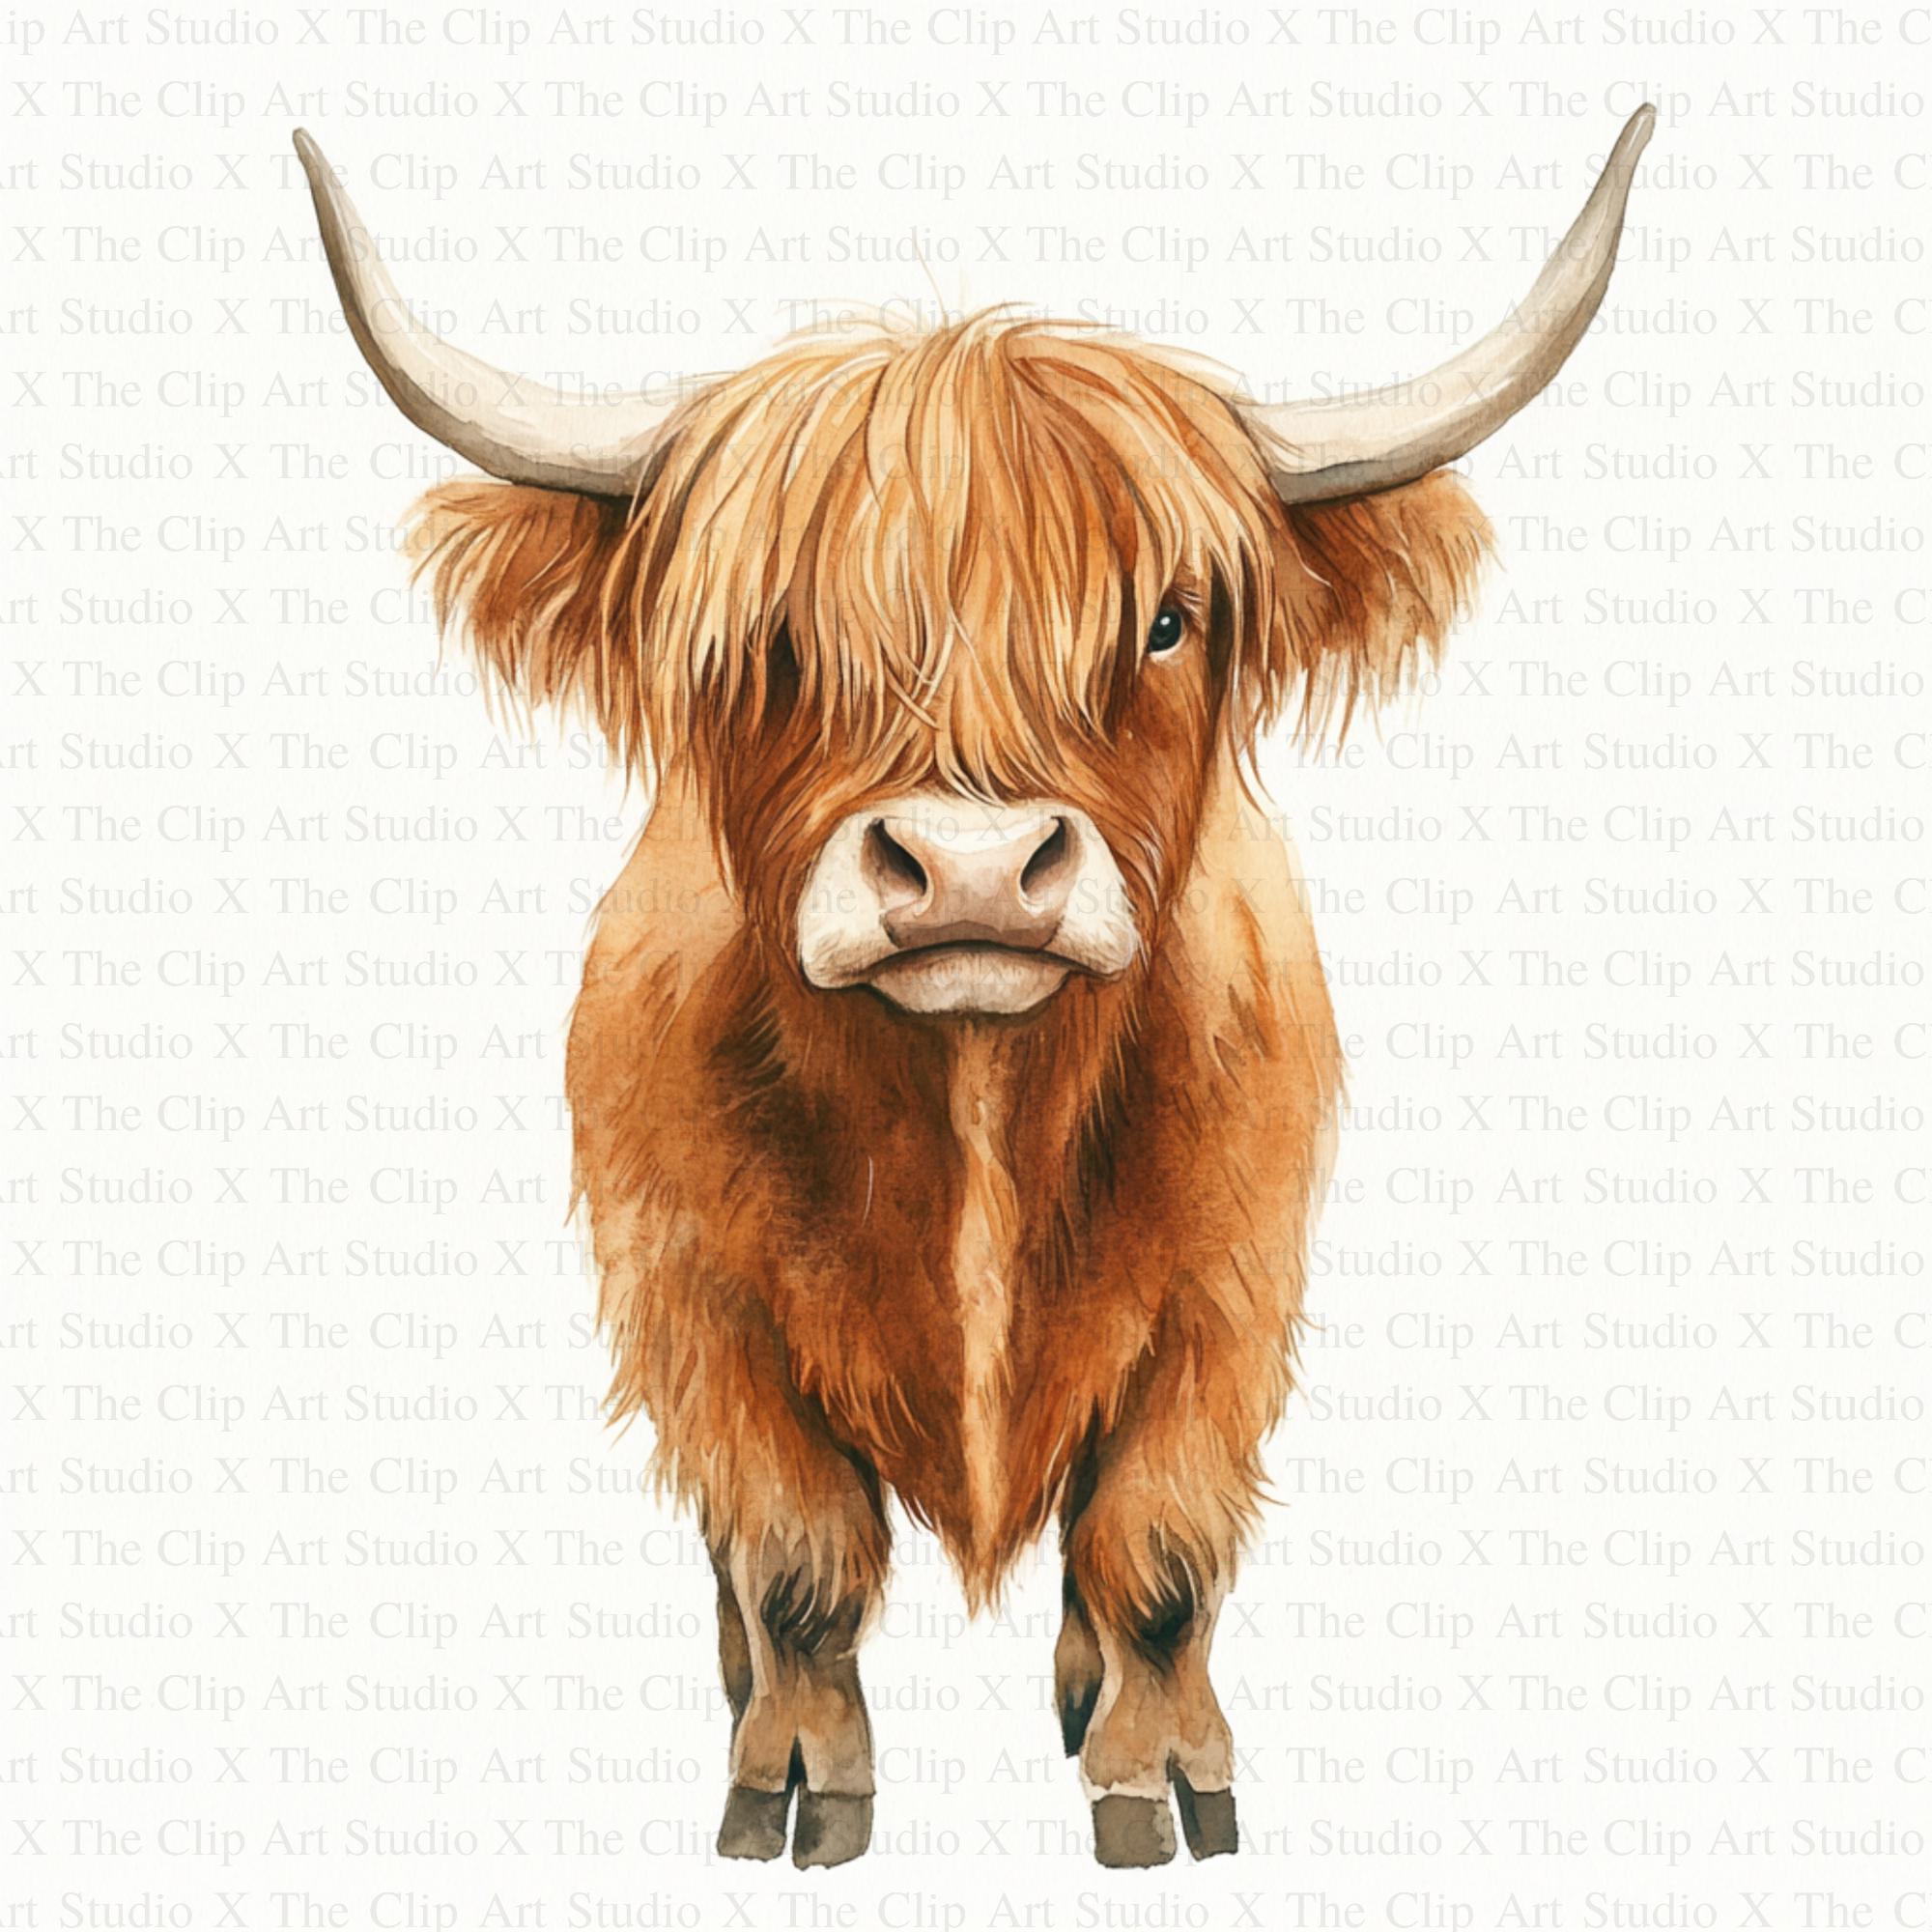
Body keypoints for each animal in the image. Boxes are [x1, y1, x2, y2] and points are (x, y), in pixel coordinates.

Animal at [295, 108, 1652, 1870]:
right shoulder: (696, 1299)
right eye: (776, 639)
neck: (973, 1103)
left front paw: (1160, 1780)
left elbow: (1156, 1552)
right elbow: (795, 1557)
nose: (972, 869)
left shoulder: (1227, 1293)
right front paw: (796, 1784)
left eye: (1167, 621)